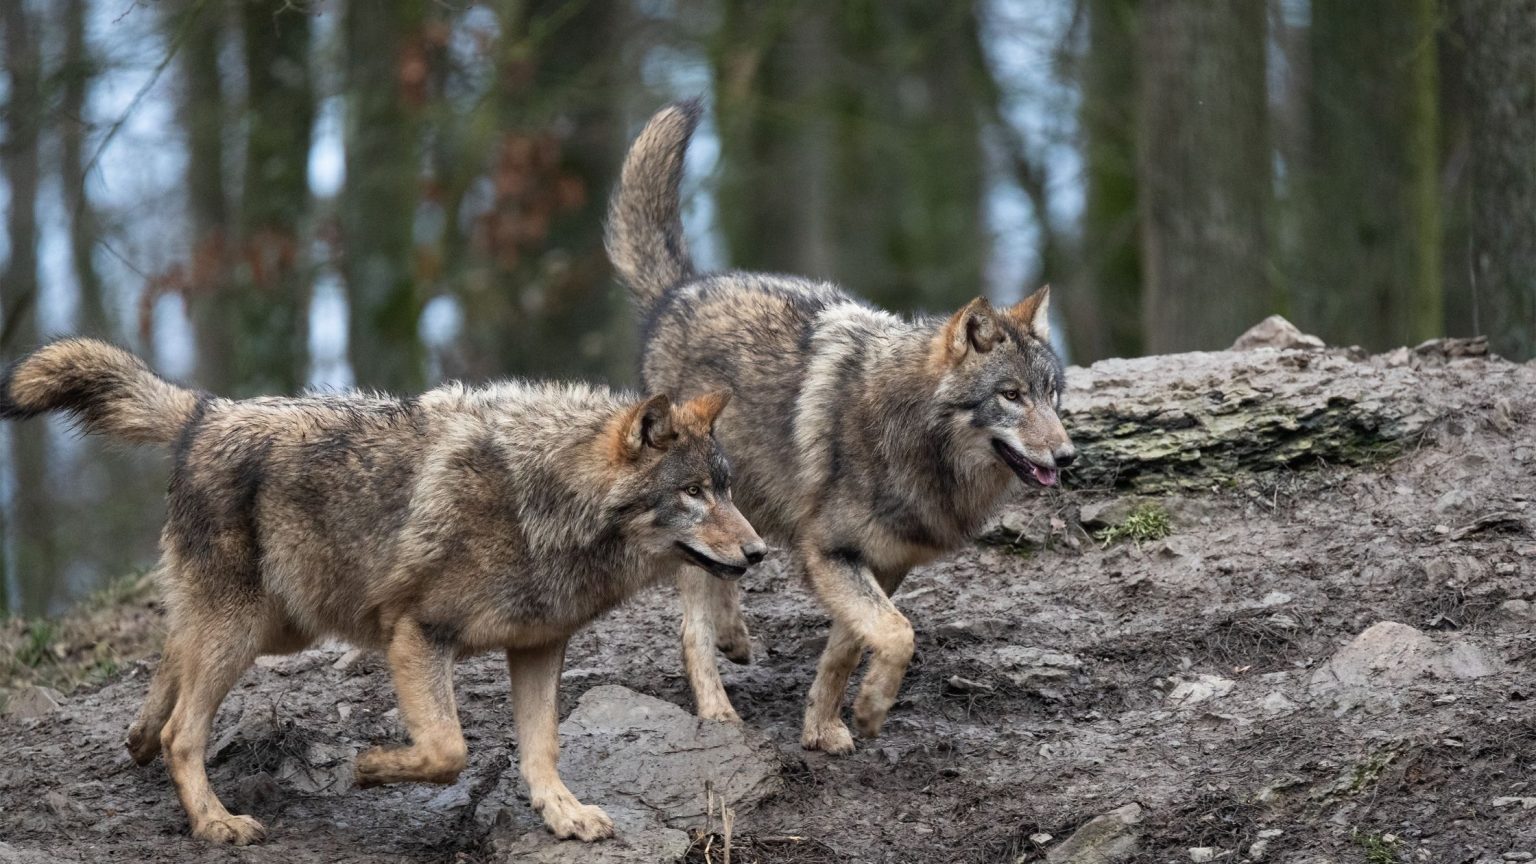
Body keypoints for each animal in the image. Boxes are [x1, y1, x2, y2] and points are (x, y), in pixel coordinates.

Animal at [0, 338, 764, 844]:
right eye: (693, 494)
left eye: (726, 489)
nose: (758, 552)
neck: (542, 501)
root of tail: (207, 412)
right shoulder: (418, 636)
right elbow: (449, 751)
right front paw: (369, 770)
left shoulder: (539, 646)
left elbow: (541, 747)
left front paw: (562, 813)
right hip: (248, 632)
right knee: (184, 731)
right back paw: (217, 823)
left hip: (279, 625)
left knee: (169, 663)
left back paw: (139, 743)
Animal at [607, 101, 1074, 753]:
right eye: (1011, 396)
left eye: (1053, 398)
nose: (1068, 456)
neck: (912, 438)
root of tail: (681, 289)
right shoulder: (829, 555)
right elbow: (899, 635)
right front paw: (872, 711)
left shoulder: (885, 564)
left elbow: (849, 650)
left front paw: (824, 726)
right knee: (691, 629)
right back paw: (719, 712)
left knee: (726, 576)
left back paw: (736, 639)